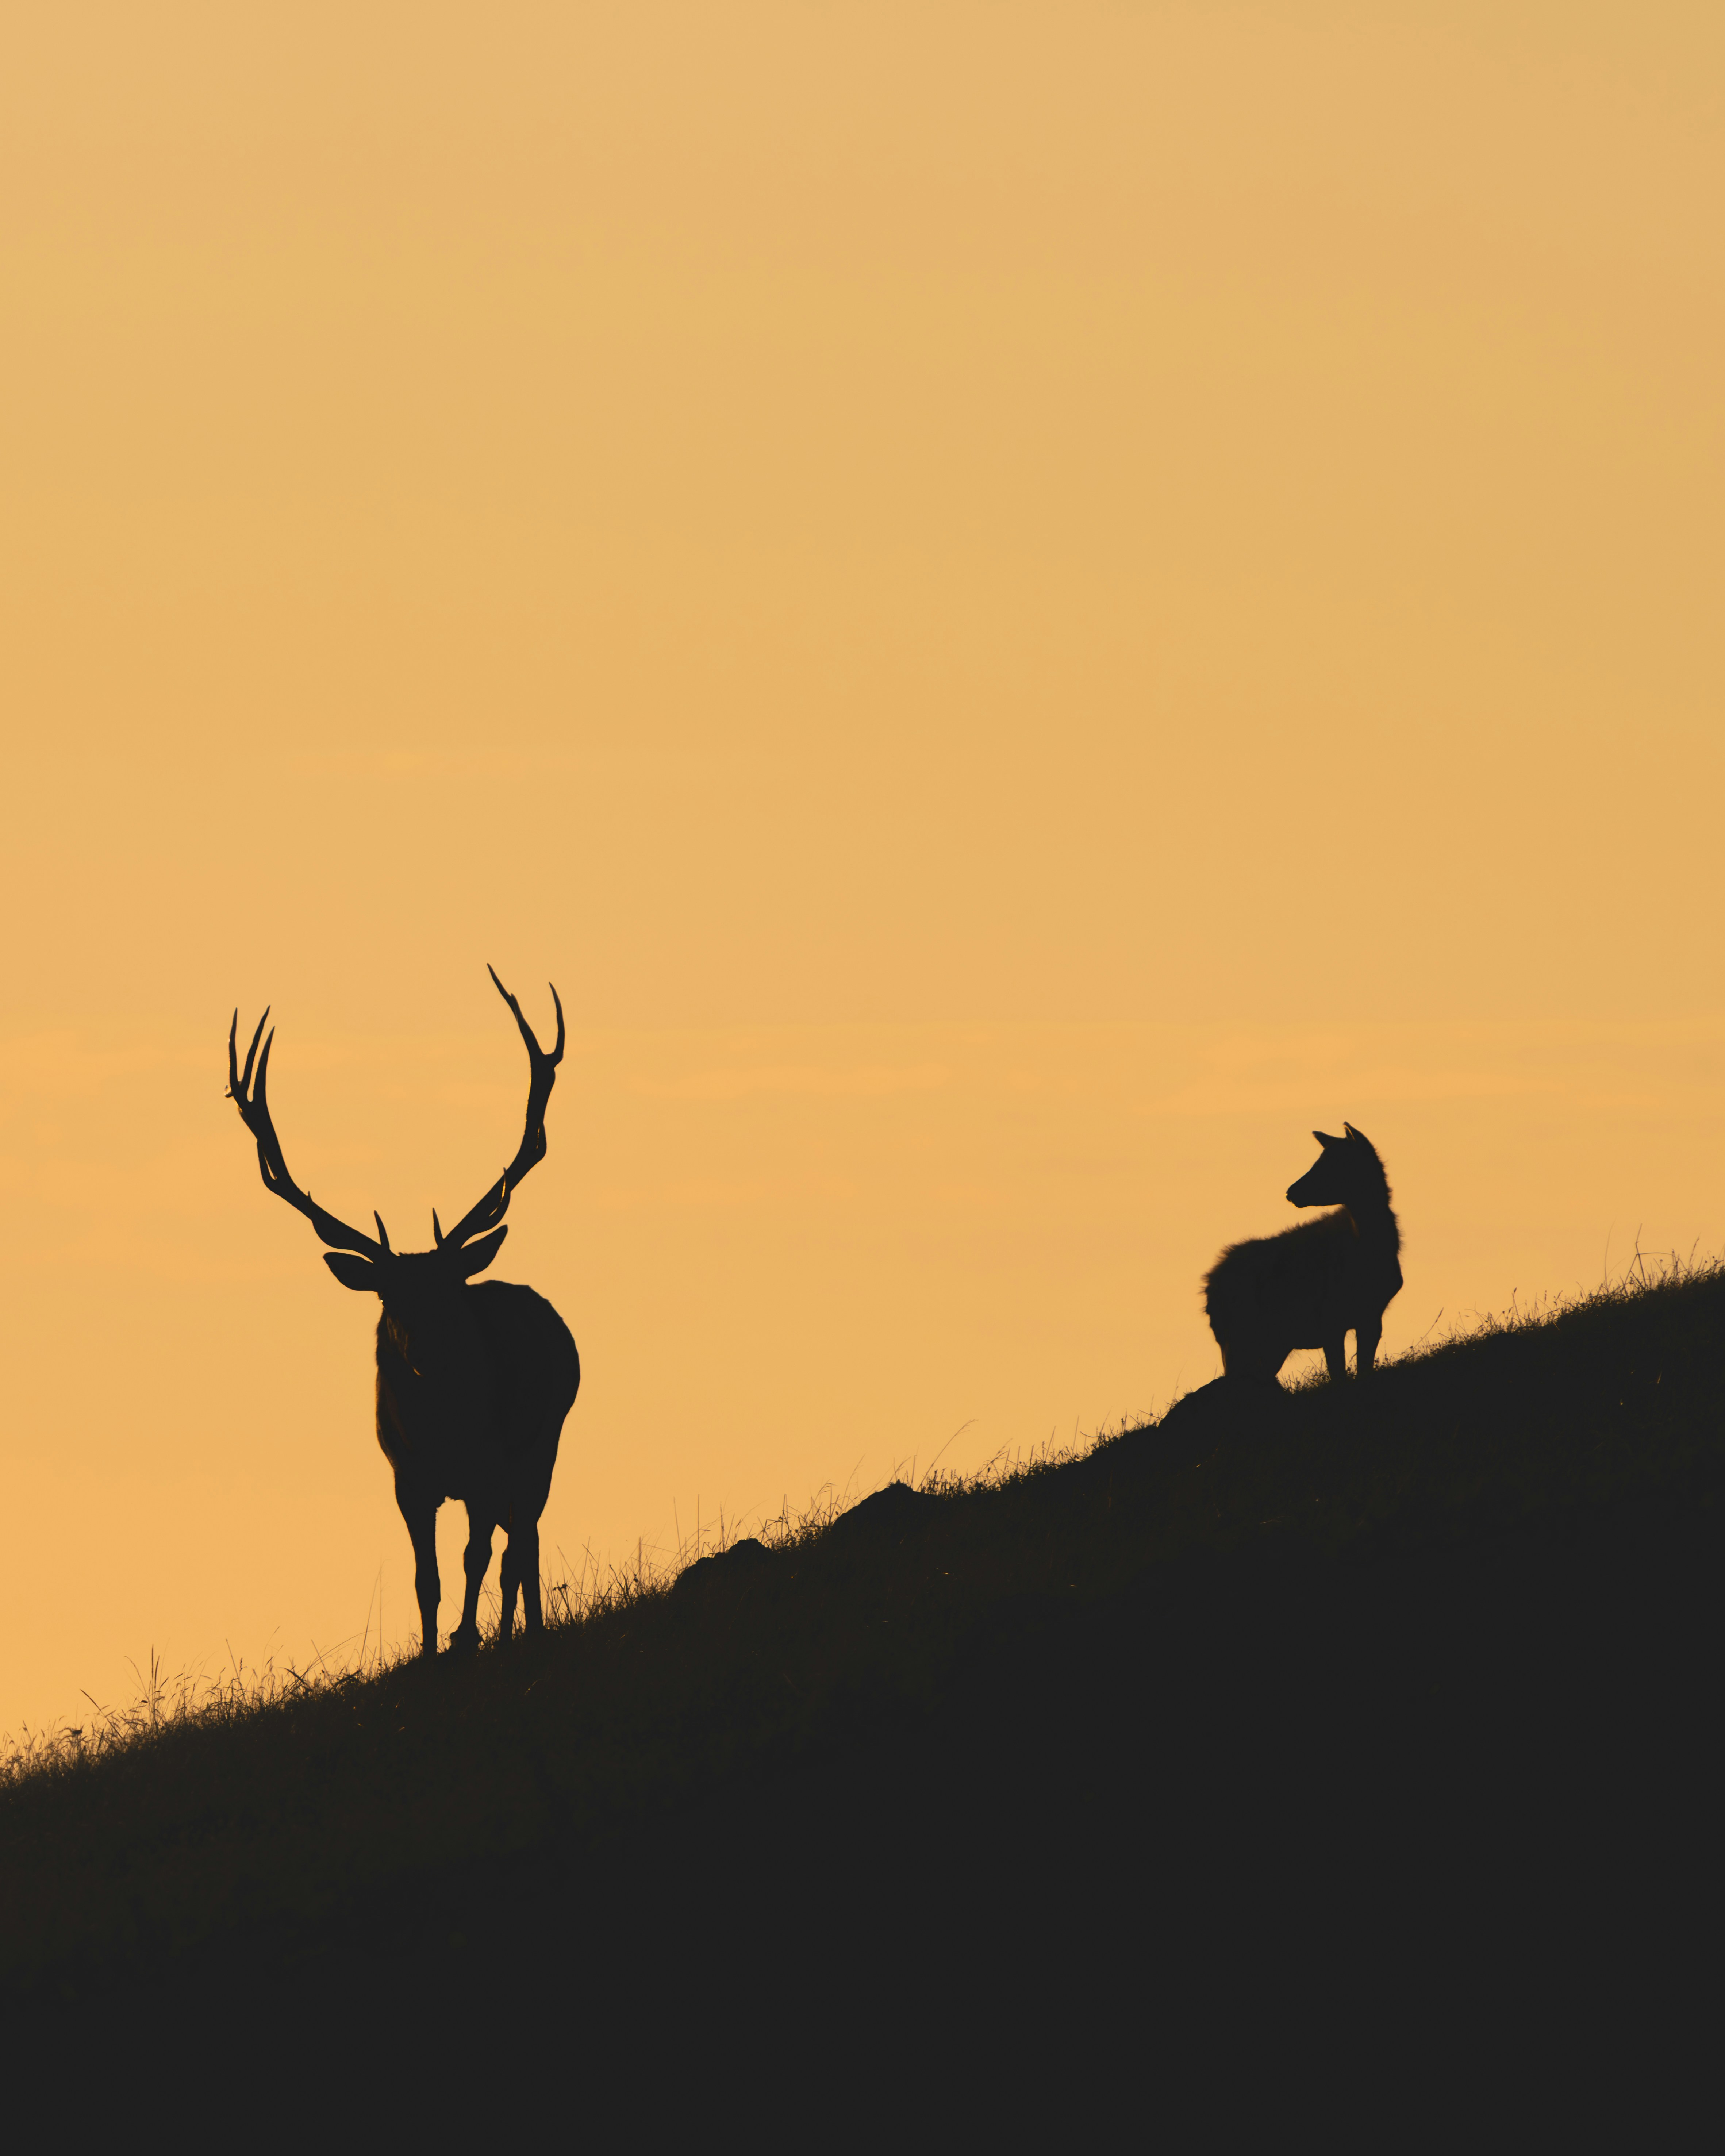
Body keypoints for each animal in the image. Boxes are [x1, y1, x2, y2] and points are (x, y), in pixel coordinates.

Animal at [226, 967, 580, 1658]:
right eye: (390, 1297)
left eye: (451, 1291)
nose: (425, 1353)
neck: (442, 1433)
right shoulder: (406, 1478)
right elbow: (427, 1576)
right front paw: (430, 1649)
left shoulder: (488, 1466)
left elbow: (475, 1558)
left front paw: (465, 1639)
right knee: (517, 1546)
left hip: (543, 1443)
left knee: (520, 1544)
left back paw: (520, 1630)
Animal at [1203, 1124, 1402, 1387]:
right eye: (1319, 1160)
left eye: (1334, 1162)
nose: (1291, 1192)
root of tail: (1208, 1286)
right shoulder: (1330, 1317)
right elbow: (1338, 1374)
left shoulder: (1372, 1314)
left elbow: (1363, 1371)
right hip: (1236, 1337)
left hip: (1273, 1343)